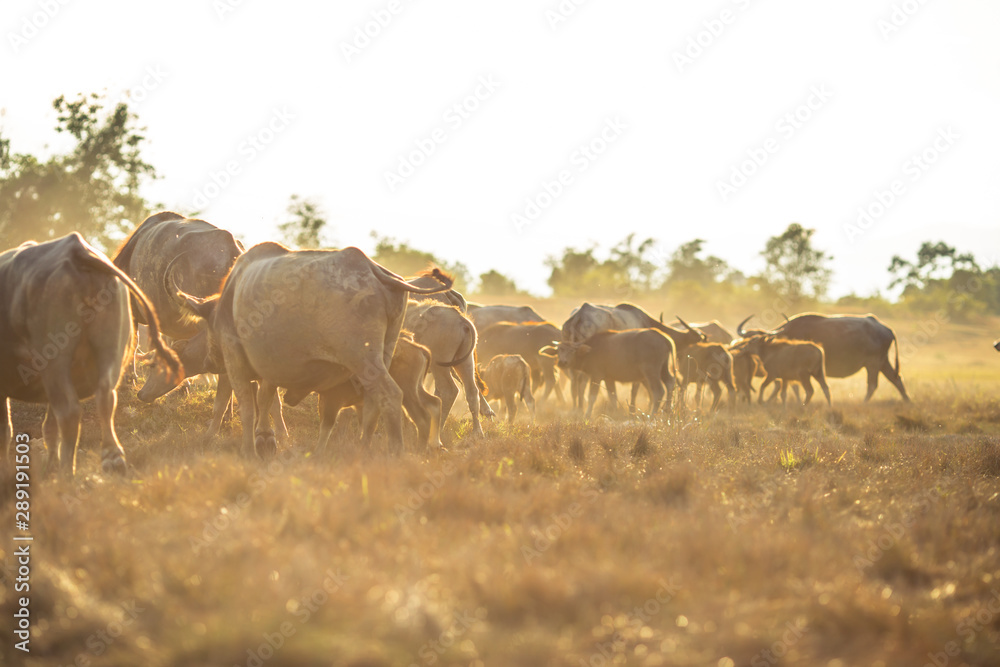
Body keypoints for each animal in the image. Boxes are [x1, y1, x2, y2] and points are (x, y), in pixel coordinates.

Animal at [1, 233, 183, 474]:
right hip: (109, 347)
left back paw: (66, 472)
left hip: (54, 359)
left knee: (68, 411)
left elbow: (7, 430)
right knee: (105, 397)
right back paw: (111, 458)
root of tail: (77, 251)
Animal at [173, 243, 453, 456]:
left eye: (207, 327)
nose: (211, 361)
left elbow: (248, 407)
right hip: (383, 354)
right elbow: (266, 399)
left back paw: (395, 451)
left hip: (363, 358)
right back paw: (364, 448)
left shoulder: (236, 360)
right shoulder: (271, 365)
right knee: (374, 404)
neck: (232, 294)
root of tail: (374, 271)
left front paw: (250, 449)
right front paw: (265, 438)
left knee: (391, 395)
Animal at [404, 299, 492, 437]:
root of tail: (461, 320)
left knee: (448, 391)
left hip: (439, 366)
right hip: (465, 362)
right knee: (472, 391)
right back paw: (477, 432)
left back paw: (438, 430)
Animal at [736, 313, 909, 402]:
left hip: (872, 364)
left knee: (872, 385)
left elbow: (794, 386)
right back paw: (907, 401)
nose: (742, 348)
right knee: (896, 379)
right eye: (747, 337)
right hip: (883, 362)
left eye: (755, 339)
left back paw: (864, 403)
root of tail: (887, 329)